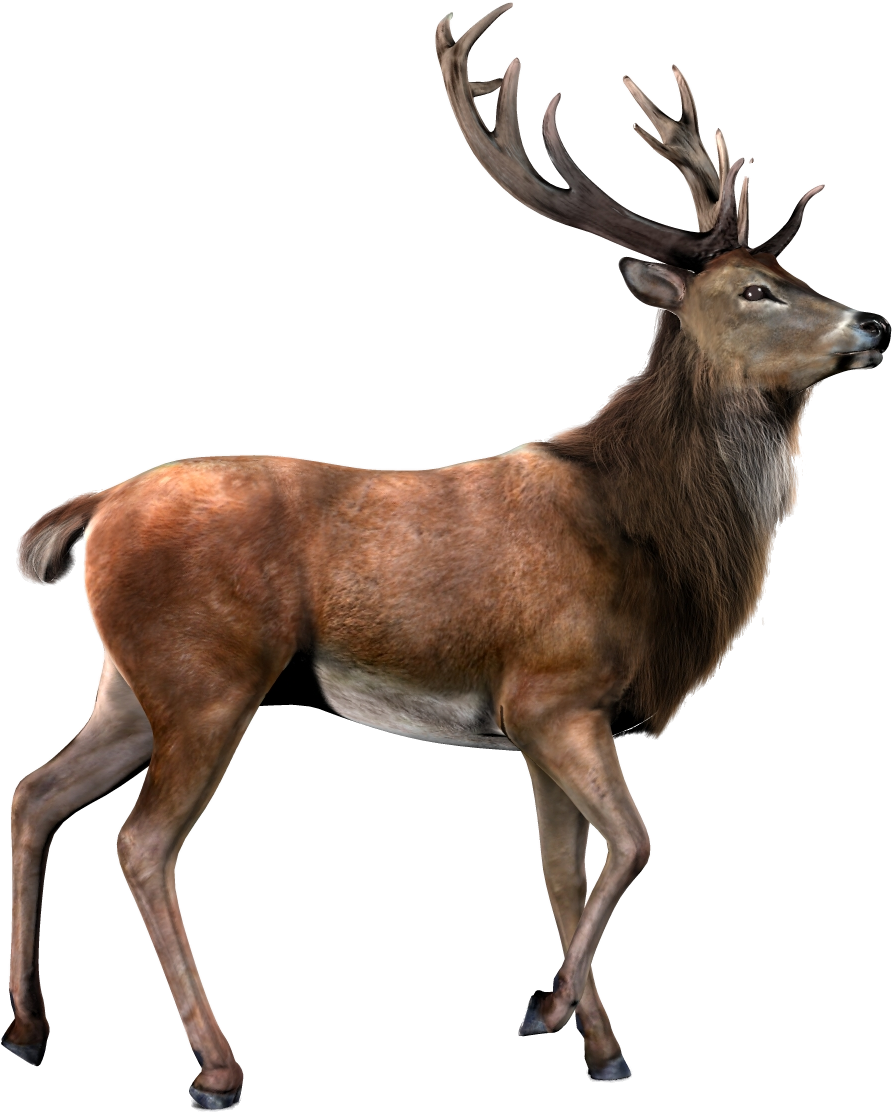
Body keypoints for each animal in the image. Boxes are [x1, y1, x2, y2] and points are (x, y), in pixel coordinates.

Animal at [7, 4, 886, 1105]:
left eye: (800, 274)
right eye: (757, 289)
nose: (873, 322)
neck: (650, 539)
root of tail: (93, 511)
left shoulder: (542, 720)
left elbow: (565, 870)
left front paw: (601, 1048)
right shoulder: (552, 688)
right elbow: (634, 844)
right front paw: (546, 1009)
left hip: (129, 680)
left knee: (34, 791)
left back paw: (28, 1027)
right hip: (206, 672)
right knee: (141, 841)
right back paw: (216, 1064)